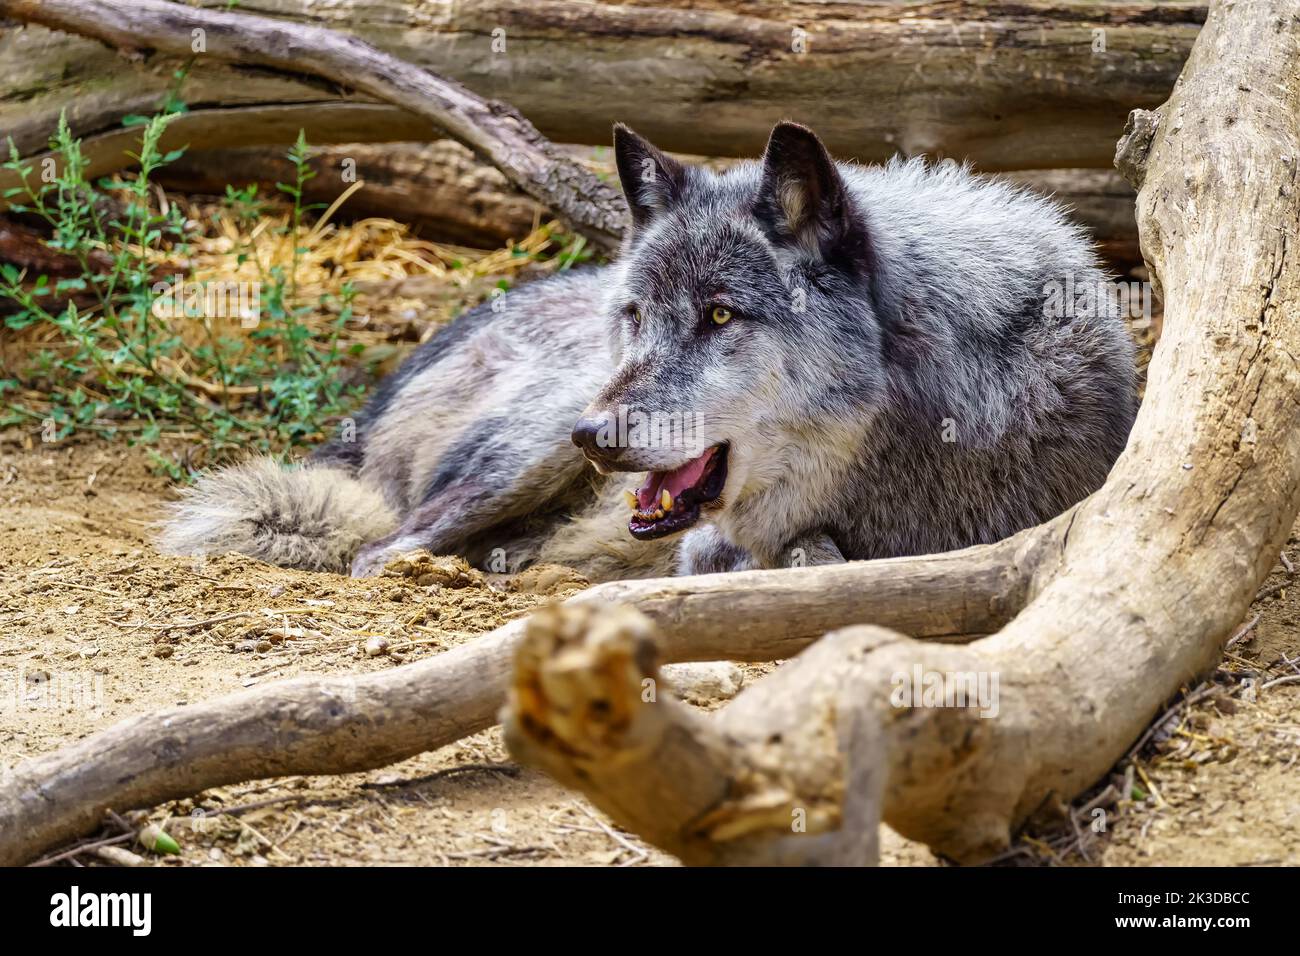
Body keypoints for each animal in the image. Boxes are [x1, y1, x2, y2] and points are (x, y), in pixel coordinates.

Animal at [160, 122, 1137, 581]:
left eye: (719, 316)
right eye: (637, 315)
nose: (596, 437)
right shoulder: (712, 545)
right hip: (527, 446)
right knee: (382, 550)